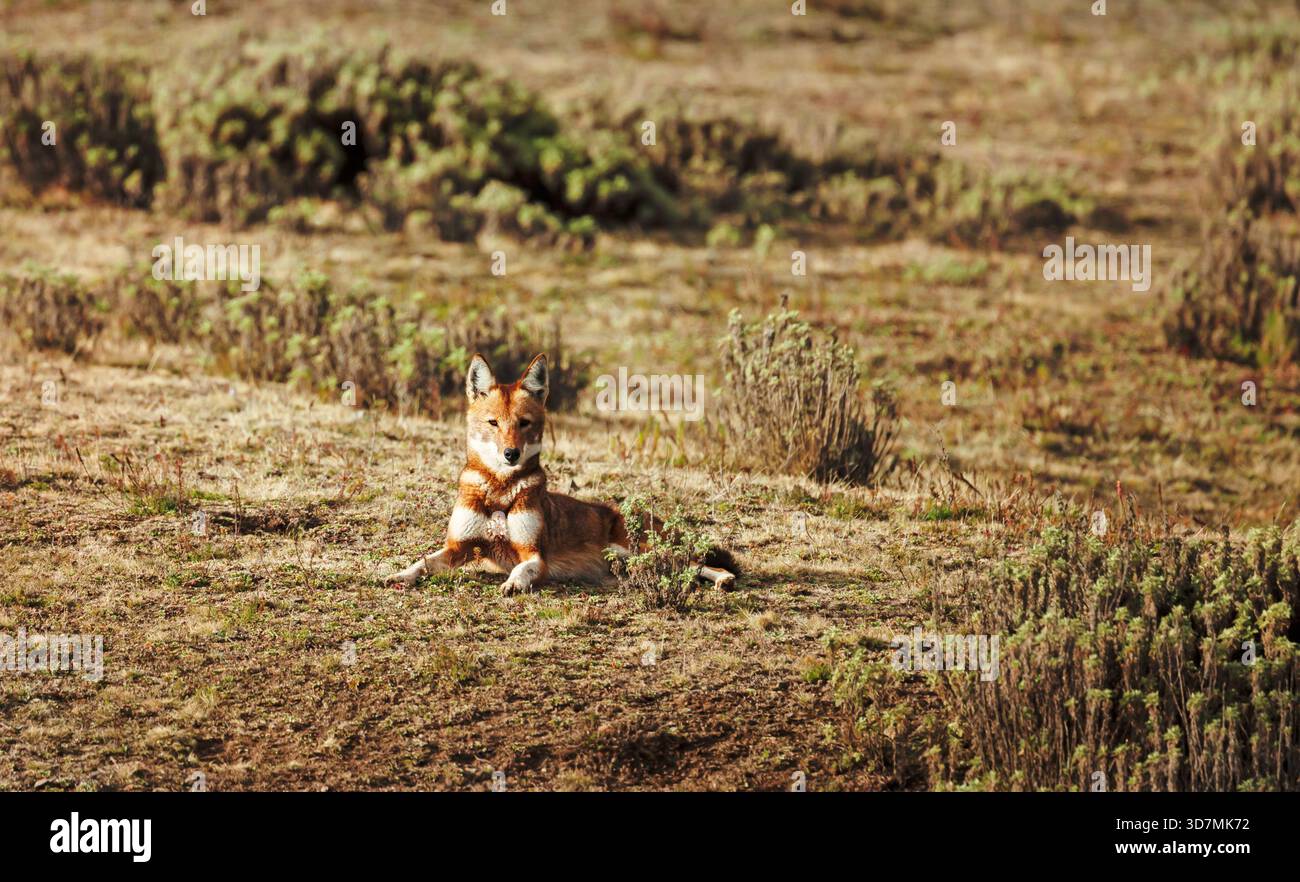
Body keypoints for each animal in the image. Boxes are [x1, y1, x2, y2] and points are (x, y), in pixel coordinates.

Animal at [389, 353, 737, 594]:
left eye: (524, 423)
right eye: (493, 423)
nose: (511, 454)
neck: (500, 491)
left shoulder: (533, 555)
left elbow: (522, 571)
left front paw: (513, 585)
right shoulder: (458, 548)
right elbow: (422, 562)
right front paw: (398, 575)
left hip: (645, 551)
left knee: (700, 564)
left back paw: (725, 580)